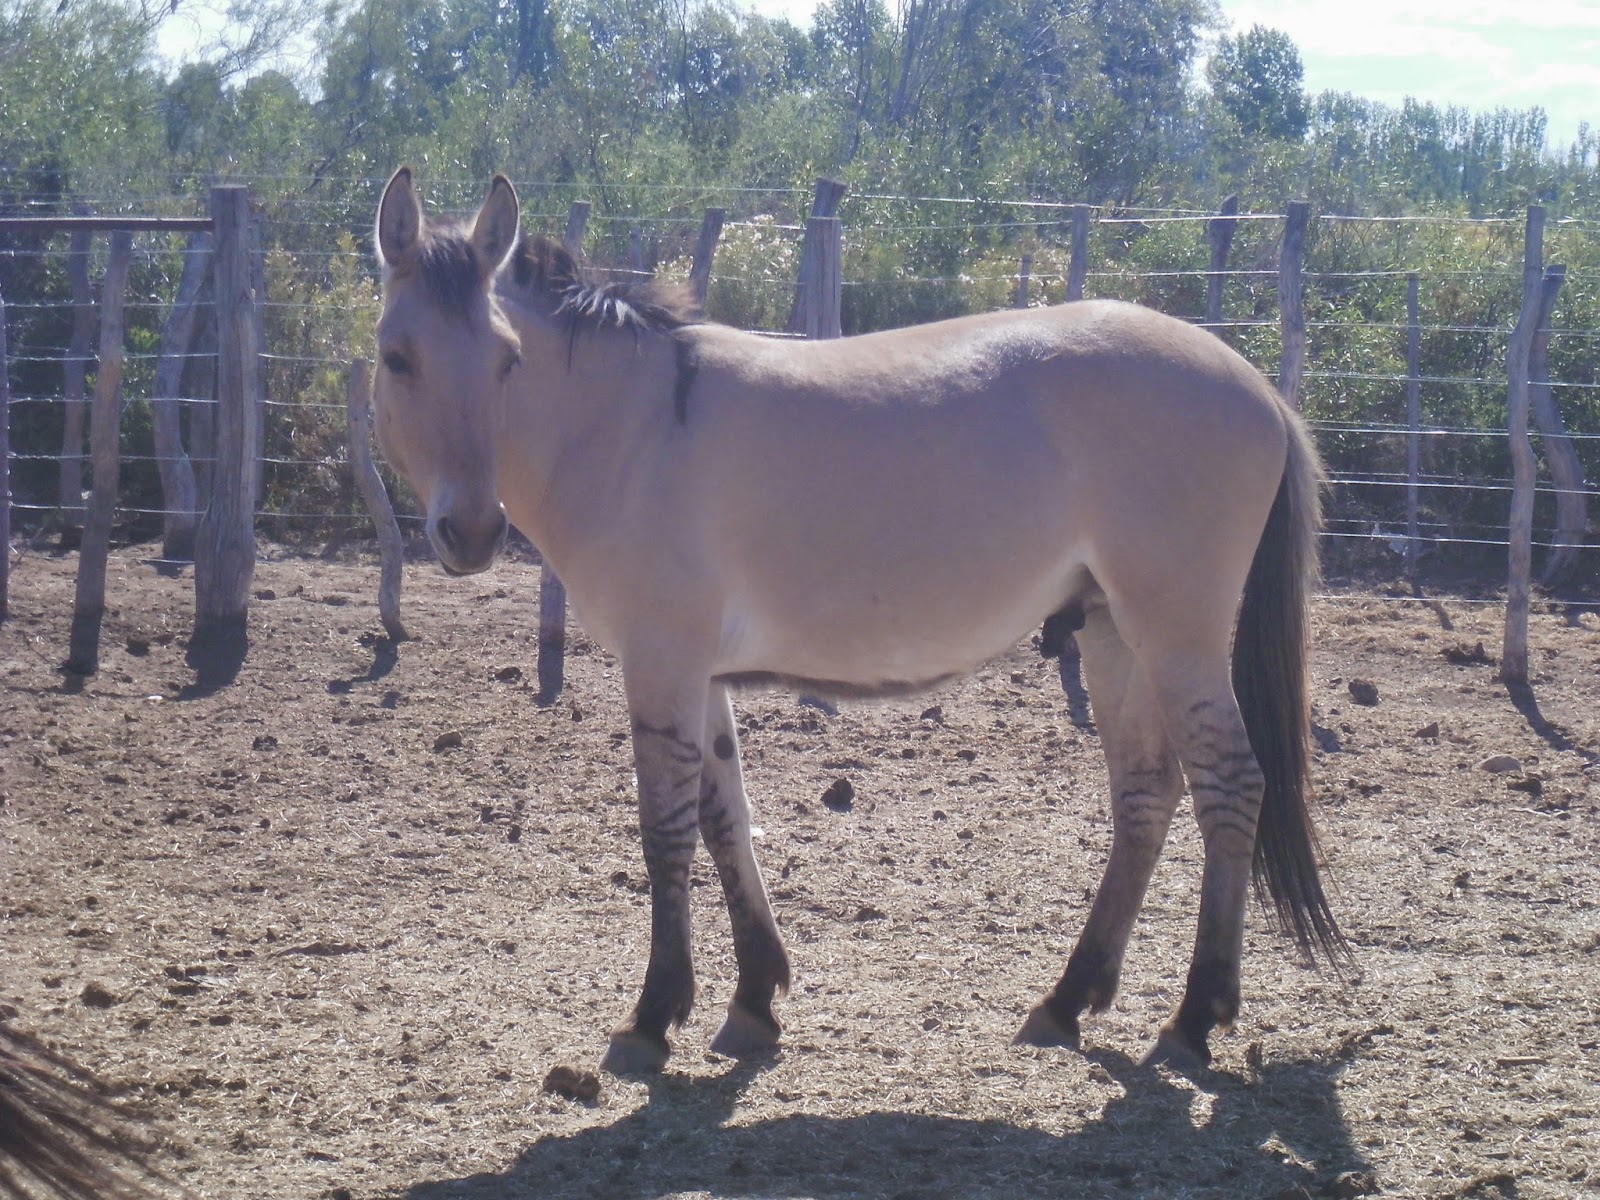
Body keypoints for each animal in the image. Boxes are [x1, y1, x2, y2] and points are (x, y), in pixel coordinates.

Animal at [370, 167, 1347, 1075]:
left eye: (506, 359)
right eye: (397, 358)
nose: (471, 532)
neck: (635, 425)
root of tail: (1254, 384)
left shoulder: (661, 663)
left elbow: (665, 831)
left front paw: (652, 1017)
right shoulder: (701, 675)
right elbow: (727, 820)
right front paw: (753, 1000)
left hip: (1176, 634)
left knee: (1231, 787)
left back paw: (1194, 1018)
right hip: (1113, 634)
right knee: (1146, 793)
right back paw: (1067, 1002)